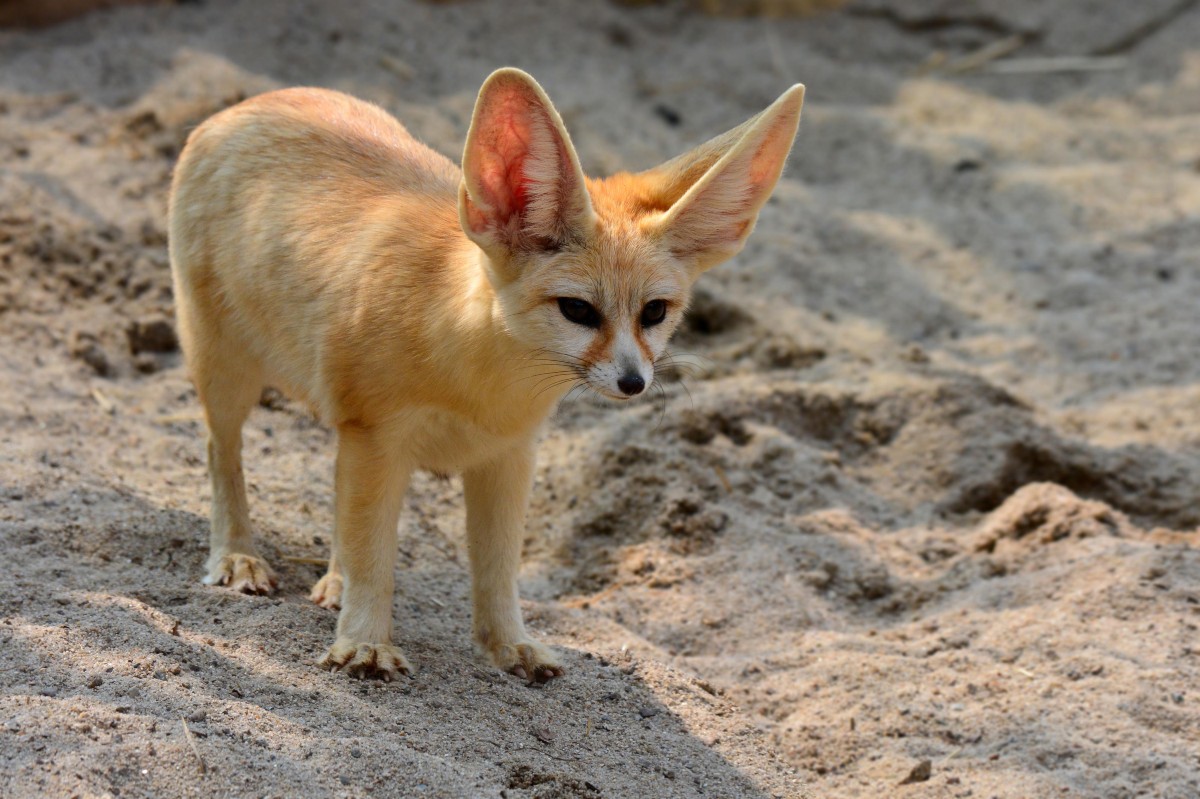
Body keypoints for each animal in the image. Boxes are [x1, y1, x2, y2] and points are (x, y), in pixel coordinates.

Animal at [168, 68, 804, 682]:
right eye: (578, 310)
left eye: (654, 313)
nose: (633, 383)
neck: (479, 384)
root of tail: (251, 103)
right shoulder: (377, 441)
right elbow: (376, 558)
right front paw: (365, 643)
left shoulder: (507, 456)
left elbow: (497, 569)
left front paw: (509, 645)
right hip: (227, 374)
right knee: (221, 453)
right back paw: (237, 555)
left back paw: (331, 581)